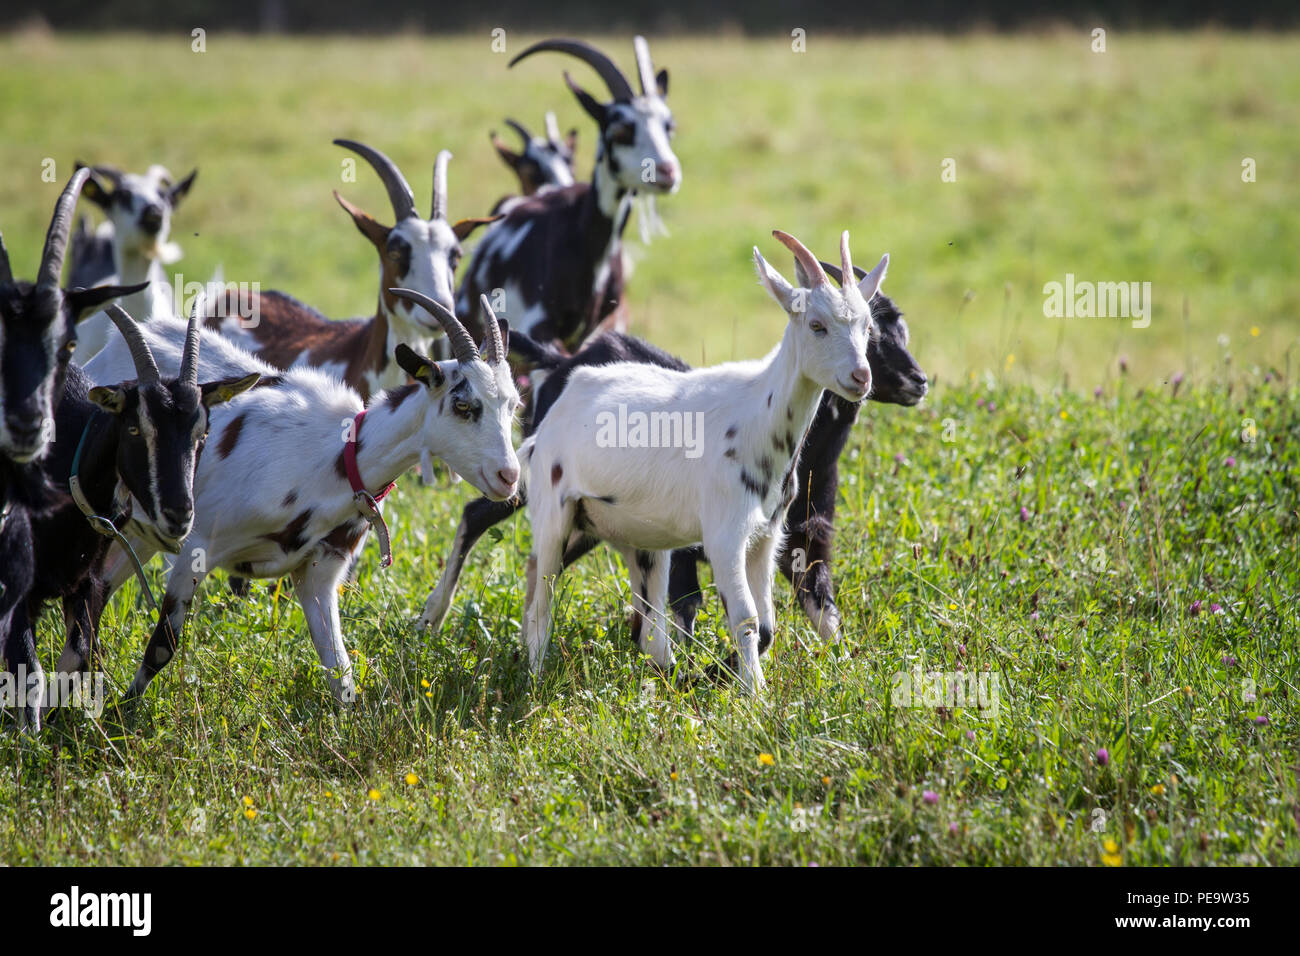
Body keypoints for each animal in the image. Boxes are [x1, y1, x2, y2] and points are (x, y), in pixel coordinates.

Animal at [85, 290, 520, 705]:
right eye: (462, 405)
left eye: (513, 405)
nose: (509, 476)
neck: (336, 456)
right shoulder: (197, 548)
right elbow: (162, 646)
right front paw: (122, 715)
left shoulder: (318, 575)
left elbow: (341, 675)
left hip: (139, 535)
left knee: (99, 587)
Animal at [417, 264, 924, 647]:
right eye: (874, 336)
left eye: (899, 331)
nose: (917, 381)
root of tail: (559, 362)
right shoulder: (692, 545)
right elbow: (694, 611)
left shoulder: (805, 541)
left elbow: (819, 615)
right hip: (525, 479)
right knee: (478, 514)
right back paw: (431, 617)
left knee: (542, 559)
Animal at [520, 231, 886, 693]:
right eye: (816, 325)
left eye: (868, 327)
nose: (862, 377)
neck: (758, 417)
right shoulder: (724, 533)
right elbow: (746, 617)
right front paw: (756, 695)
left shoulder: (766, 535)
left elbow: (767, 624)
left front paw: (730, 677)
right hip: (555, 511)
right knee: (541, 595)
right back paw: (533, 677)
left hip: (636, 537)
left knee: (647, 624)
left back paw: (668, 676)